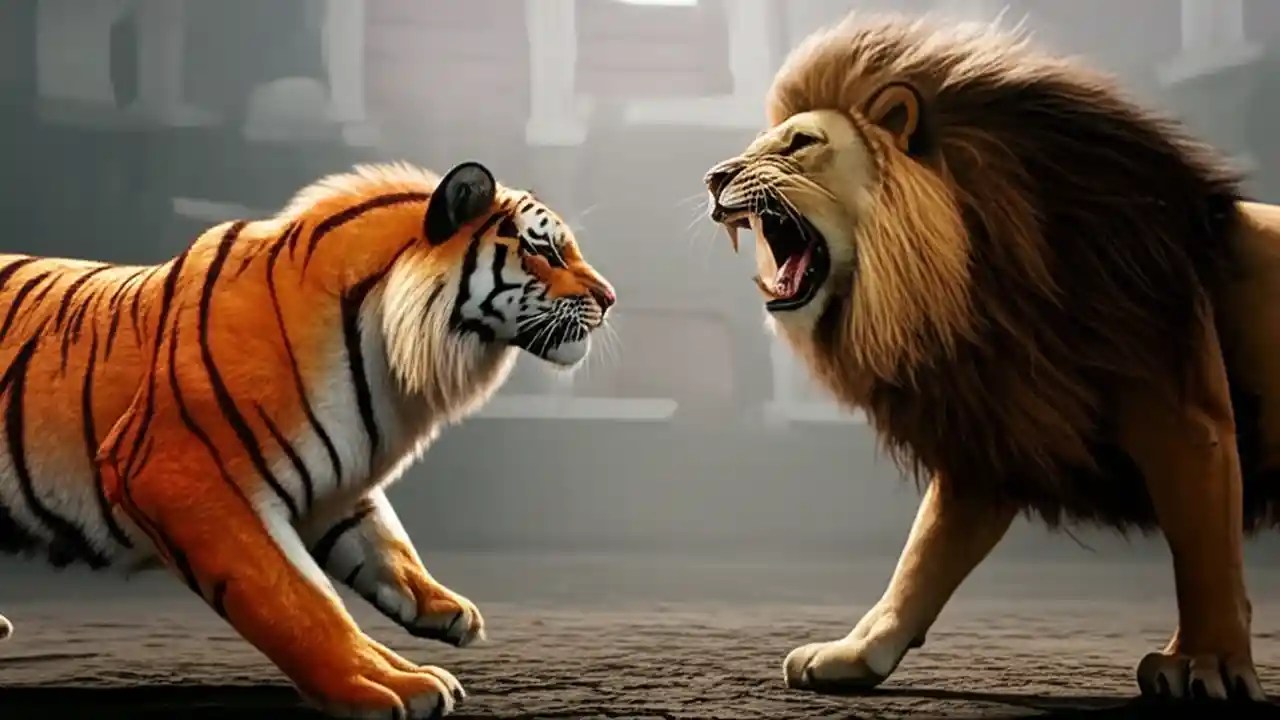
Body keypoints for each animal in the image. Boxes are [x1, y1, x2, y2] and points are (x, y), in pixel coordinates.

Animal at [0, 160, 616, 719]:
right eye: (546, 251)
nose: (610, 298)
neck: (389, 356)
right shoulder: (181, 475)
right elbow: (299, 599)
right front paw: (388, 686)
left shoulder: (339, 476)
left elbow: (385, 544)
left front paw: (443, 609)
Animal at [702, 12, 1280, 703]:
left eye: (799, 143)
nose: (712, 177)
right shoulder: (991, 425)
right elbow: (923, 558)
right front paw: (855, 654)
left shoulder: (1183, 411)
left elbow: (1203, 552)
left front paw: (1205, 662)